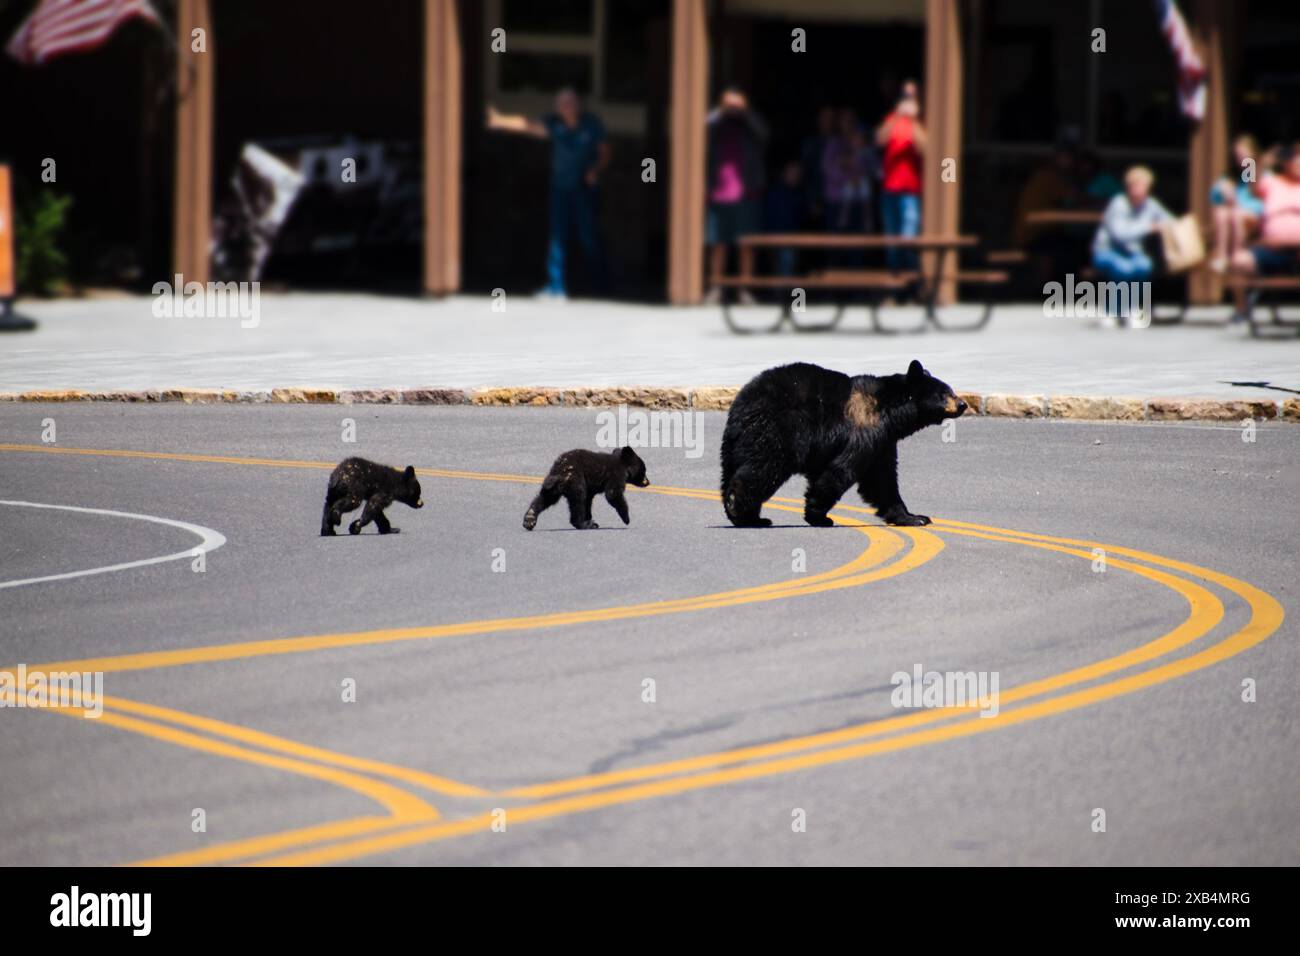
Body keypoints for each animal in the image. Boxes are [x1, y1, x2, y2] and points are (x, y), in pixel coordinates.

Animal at [719, 359, 966, 529]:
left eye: (951, 389)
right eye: (945, 392)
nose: (963, 404)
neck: (889, 409)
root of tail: (741, 404)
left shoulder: (883, 442)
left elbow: (882, 482)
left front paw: (913, 517)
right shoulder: (864, 431)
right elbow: (841, 470)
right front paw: (819, 516)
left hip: (736, 444)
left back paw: (749, 516)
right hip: (778, 429)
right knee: (764, 467)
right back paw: (742, 510)